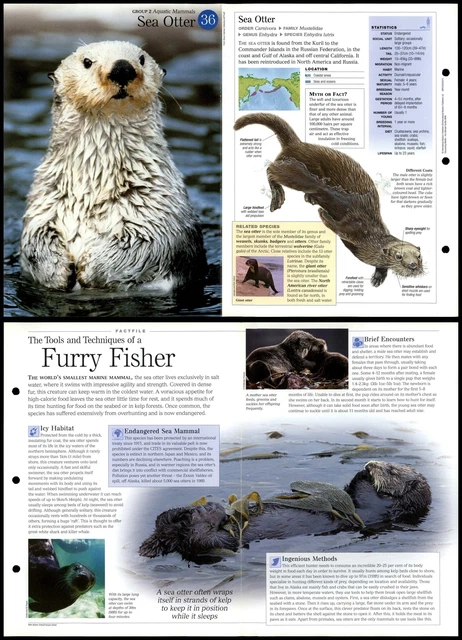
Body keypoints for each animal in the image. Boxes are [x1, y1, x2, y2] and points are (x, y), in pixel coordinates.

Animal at [21, 41, 206, 293]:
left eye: (141, 59)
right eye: (87, 61)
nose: (122, 68)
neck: (93, 184)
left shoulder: (160, 209)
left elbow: (148, 243)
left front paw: (89, 268)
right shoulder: (45, 201)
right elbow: (33, 238)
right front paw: (57, 271)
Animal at [139, 461, 431, 563]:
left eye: (391, 470)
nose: (371, 464)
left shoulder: (379, 509)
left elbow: (363, 494)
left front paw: (367, 473)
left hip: (220, 542)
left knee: (197, 539)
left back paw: (207, 512)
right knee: (165, 522)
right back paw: (188, 509)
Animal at [234, 113, 424, 287]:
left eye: (419, 256)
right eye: (399, 256)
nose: (413, 266)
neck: (370, 235)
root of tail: (297, 144)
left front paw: (378, 277)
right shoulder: (352, 226)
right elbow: (336, 225)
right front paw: (323, 213)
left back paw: (307, 198)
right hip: (295, 173)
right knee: (271, 169)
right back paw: (278, 197)